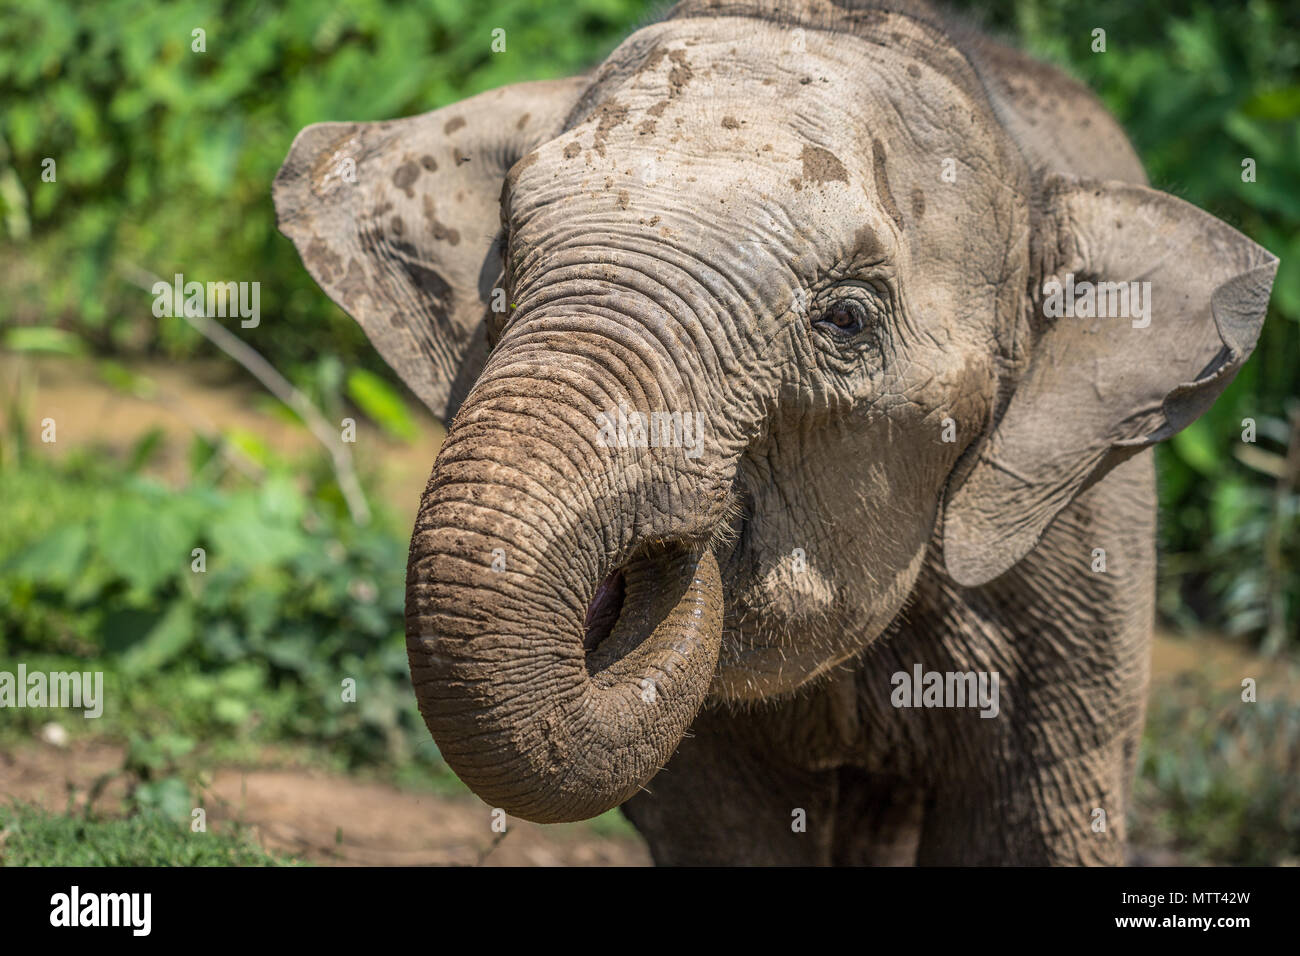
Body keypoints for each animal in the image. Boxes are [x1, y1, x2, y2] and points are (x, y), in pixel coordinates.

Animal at [273, 0, 1277, 864]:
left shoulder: (1080, 555)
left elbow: (1033, 827)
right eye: (504, 287)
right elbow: (720, 824)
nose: (670, 546)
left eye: (845, 320)